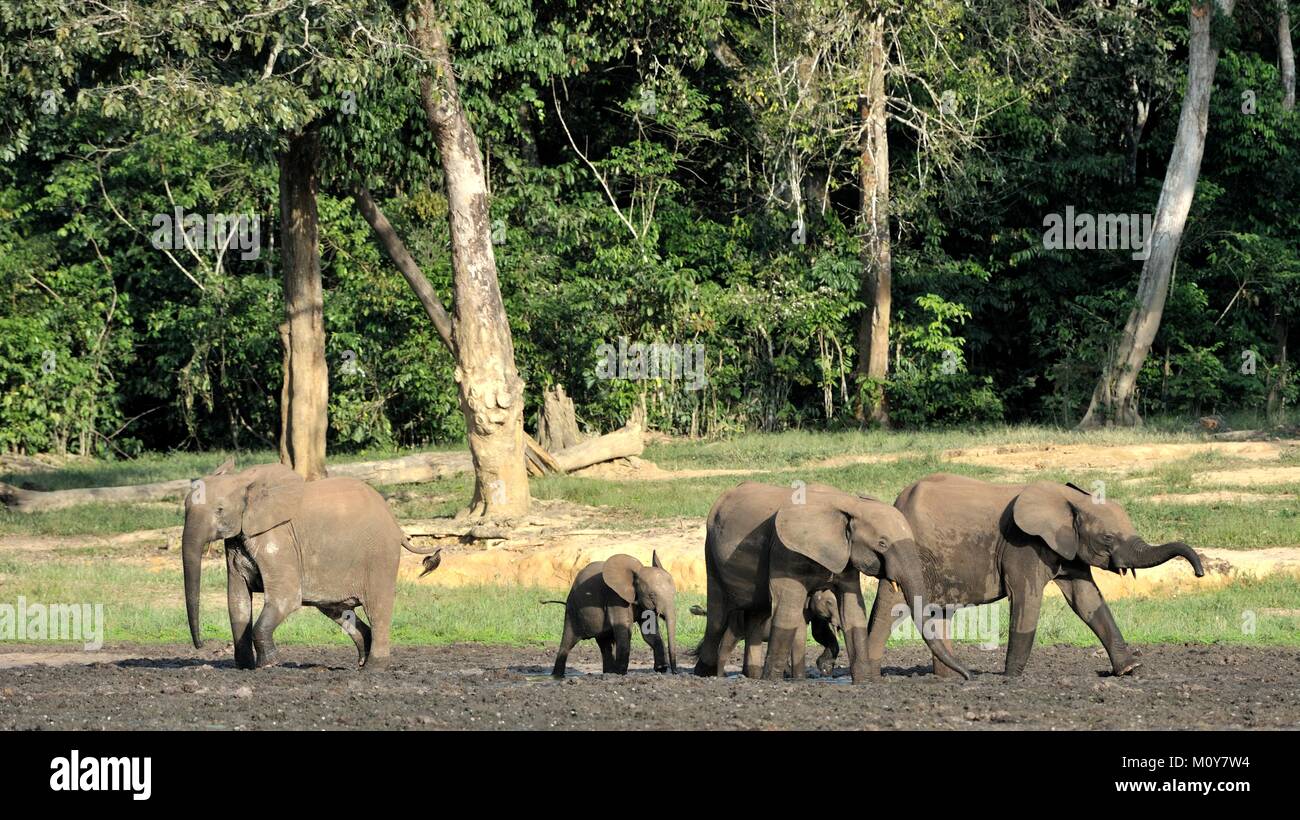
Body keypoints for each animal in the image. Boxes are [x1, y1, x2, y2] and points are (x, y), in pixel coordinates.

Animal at [181, 459, 442, 669]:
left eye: (220, 510)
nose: (200, 645)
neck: (245, 480)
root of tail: (398, 527)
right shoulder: (238, 539)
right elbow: (237, 601)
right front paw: (245, 667)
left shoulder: (279, 537)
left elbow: (285, 597)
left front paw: (268, 665)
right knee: (338, 611)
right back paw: (361, 661)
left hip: (380, 556)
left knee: (378, 607)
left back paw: (374, 668)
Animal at [549, 552, 678, 677]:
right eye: (652, 595)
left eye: (674, 593)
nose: (675, 672)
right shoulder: (615, 597)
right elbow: (623, 628)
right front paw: (621, 673)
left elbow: (649, 632)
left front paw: (661, 668)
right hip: (573, 610)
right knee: (568, 642)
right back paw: (557, 676)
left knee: (605, 643)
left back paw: (609, 673)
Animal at [693, 482, 971, 683]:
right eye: (882, 543)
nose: (967, 676)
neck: (850, 505)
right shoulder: (785, 551)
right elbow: (788, 609)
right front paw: (773, 682)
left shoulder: (846, 556)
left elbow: (853, 611)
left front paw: (864, 683)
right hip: (710, 551)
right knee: (718, 616)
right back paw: (705, 675)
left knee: (756, 612)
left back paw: (749, 675)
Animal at [867, 473, 1206, 678]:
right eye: (1108, 538)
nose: (1200, 572)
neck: (1071, 499)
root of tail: (896, 501)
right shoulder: (1023, 544)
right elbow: (1026, 598)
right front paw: (1011, 678)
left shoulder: (1067, 548)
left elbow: (1087, 600)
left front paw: (1130, 669)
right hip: (905, 553)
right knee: (890, 606)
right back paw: (870, 678)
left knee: (939, 613)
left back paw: (953, 677)